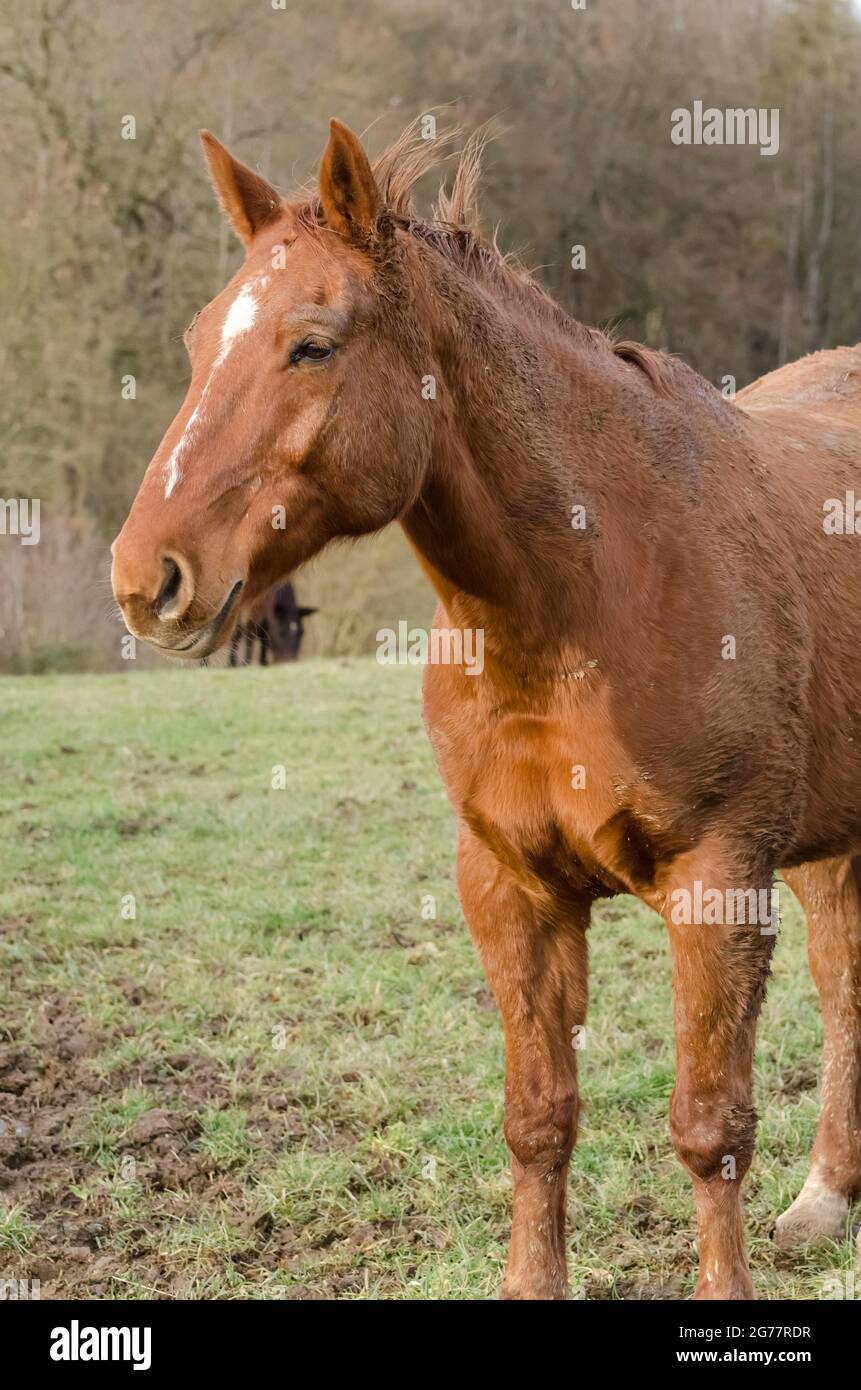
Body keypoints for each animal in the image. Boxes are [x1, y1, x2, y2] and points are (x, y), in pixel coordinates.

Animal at [111, 117, 861, 1300]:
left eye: (312, 345)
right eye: (196, 343)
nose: (148, 579)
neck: (584, 601)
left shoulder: (719, 877)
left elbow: (711, 1127)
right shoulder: (509, 887)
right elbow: (537, 1119)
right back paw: (827, 1194)